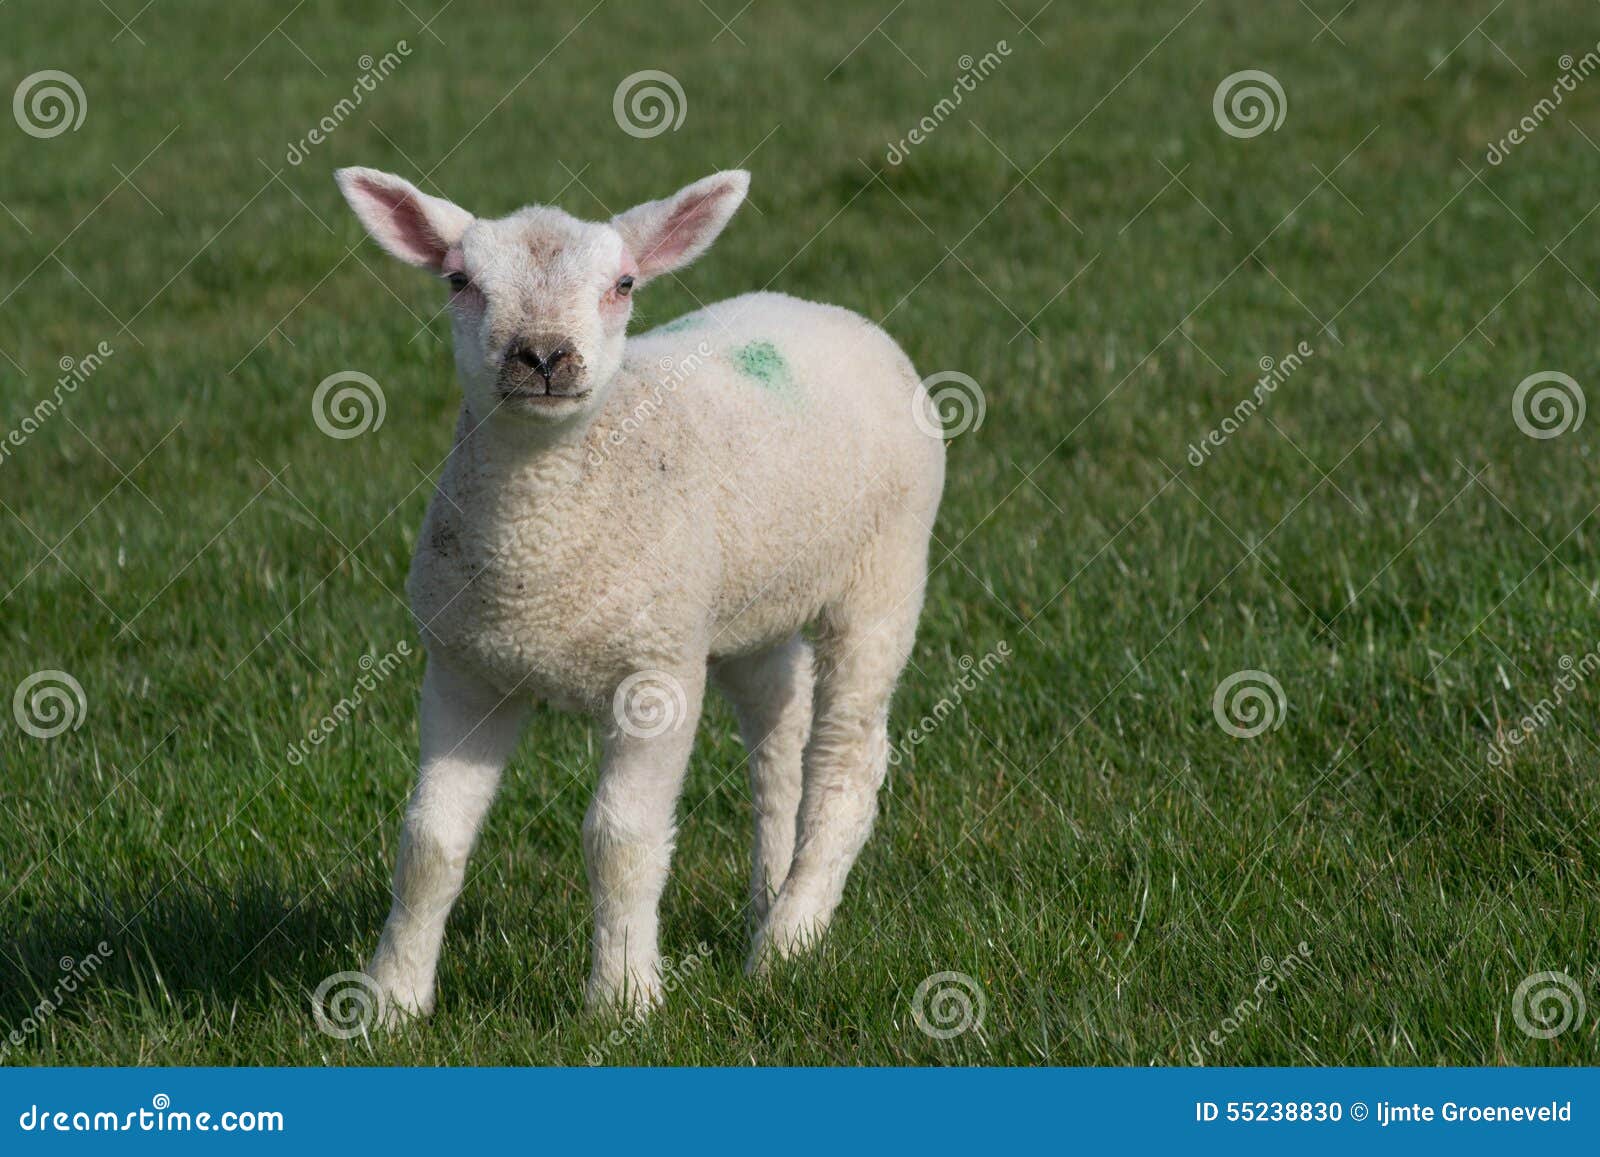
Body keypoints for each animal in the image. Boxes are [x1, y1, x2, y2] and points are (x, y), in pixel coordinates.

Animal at [333, 165, 946, 1020]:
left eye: (622, 284)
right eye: (460, 281)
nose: (542, 355)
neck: (536, 566)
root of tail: (828, 312)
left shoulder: (655, 673)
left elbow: (619, 839)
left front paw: (623, 997)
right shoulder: (465, 667)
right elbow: (430, 840)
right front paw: (391, 999)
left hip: (885, 573)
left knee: (848, 761)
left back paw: (788, 939)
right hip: (745, 599)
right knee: (779, 737)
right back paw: (769, 896)